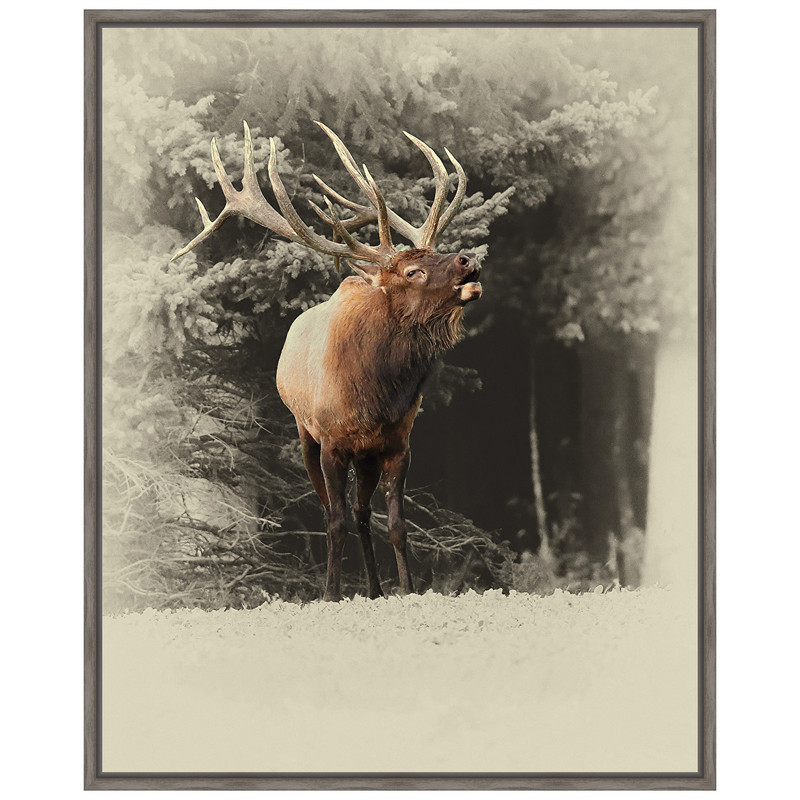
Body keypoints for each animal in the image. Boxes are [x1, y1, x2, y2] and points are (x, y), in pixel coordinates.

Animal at [172, 121, 483, 601]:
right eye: (412, 271)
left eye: (437, 252)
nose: (469, 258)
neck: (377, 392)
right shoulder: (331, 442)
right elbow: (333, 523)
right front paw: (330, 594)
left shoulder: (398, 444)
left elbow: (397, 525)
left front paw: (408, 591)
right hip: (306, 435)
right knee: (332, 512)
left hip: (366, 456)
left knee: (361, 513)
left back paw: (374, 590)